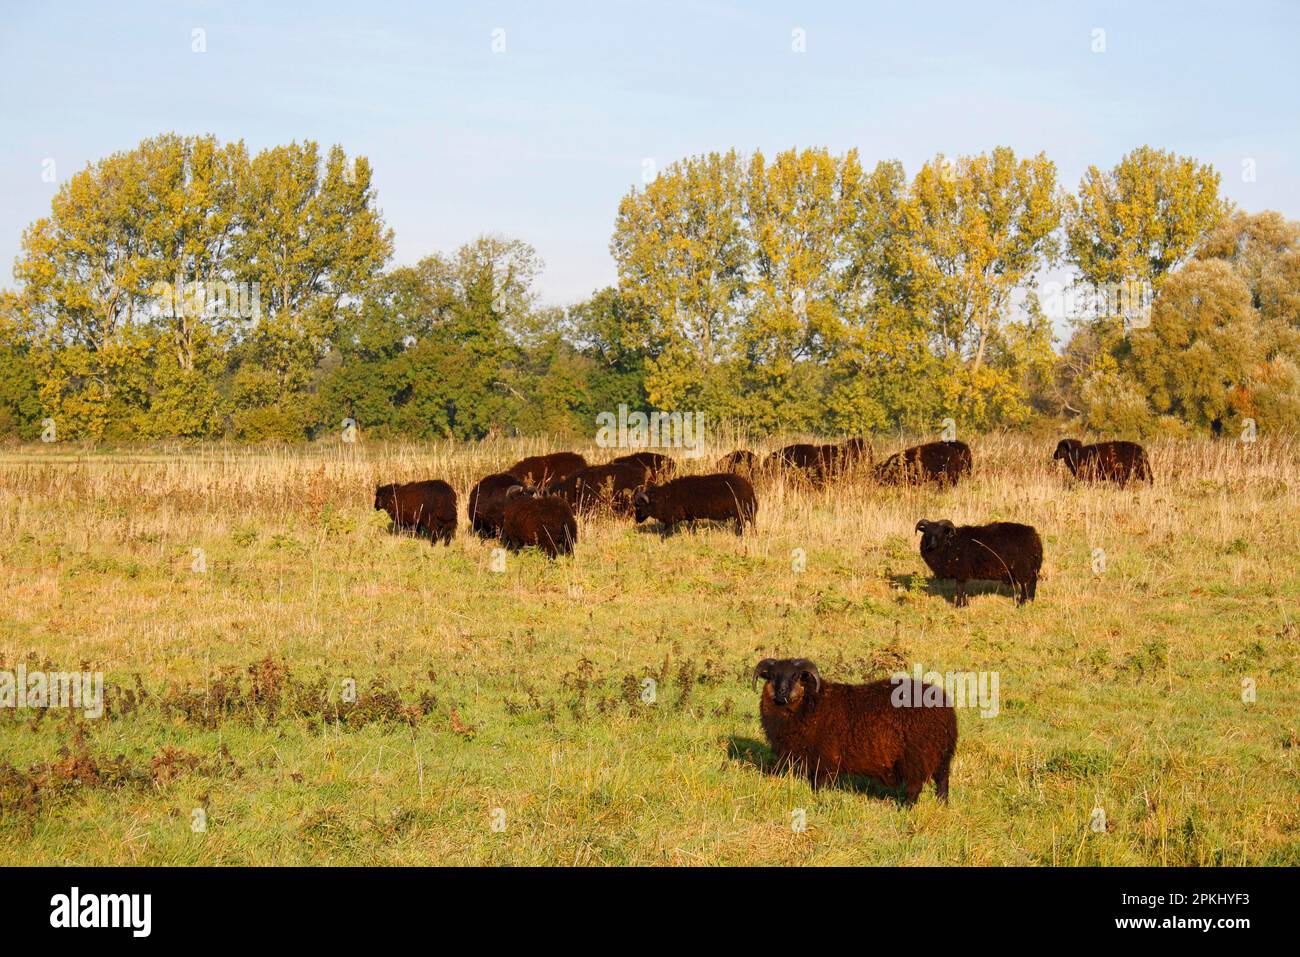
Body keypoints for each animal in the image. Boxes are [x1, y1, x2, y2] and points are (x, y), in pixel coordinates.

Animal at [752, 658, 957, 802]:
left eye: (795, 676)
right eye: (772, 676)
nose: (781, 691)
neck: (811, 703)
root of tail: (945, 708)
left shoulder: (825, 760)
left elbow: (819, 786)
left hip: (916, 756)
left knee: (915, 788)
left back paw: (905, 809)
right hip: (941, 755)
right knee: (943, 782)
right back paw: (942, 804)